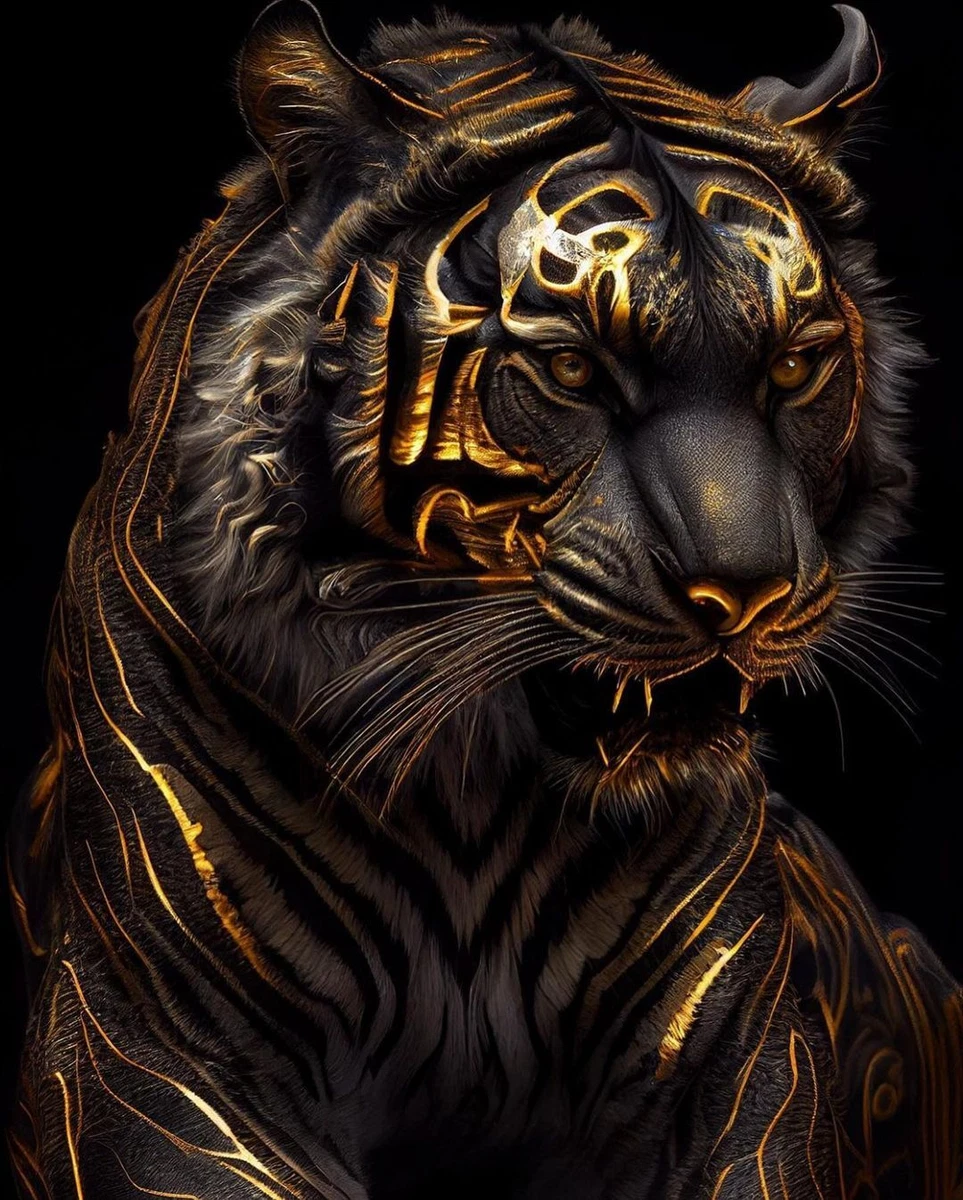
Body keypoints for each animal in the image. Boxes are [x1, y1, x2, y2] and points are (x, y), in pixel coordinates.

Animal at [8, 1, 961, 1197]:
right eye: (572, 372)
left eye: (791, 369)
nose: (744, 595)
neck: (473, 796)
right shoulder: (169, 1056)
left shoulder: (728, 1060)